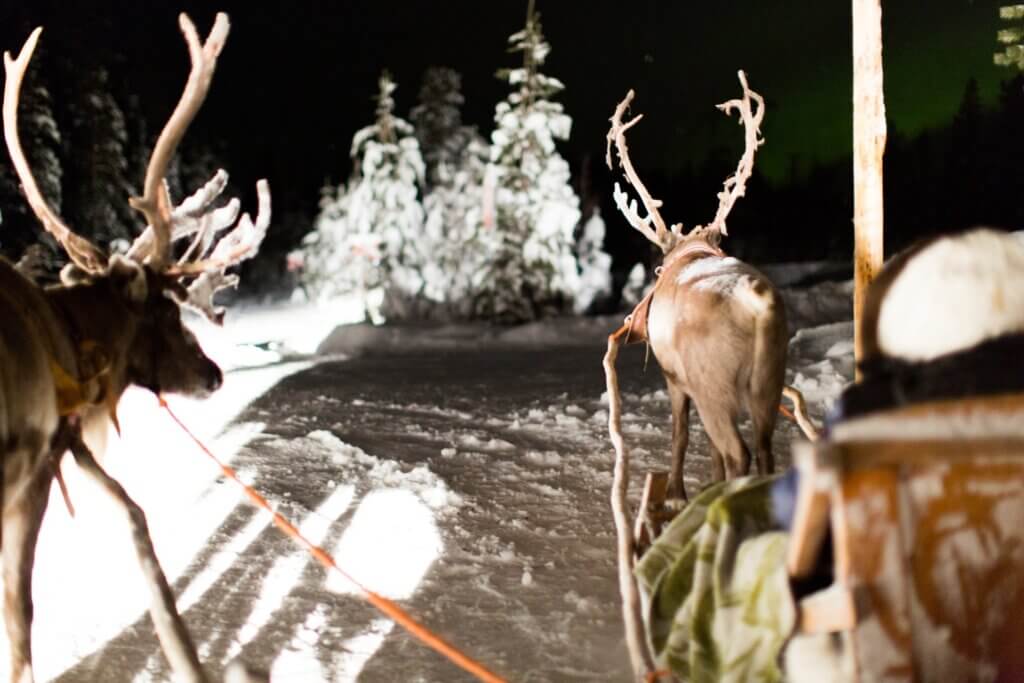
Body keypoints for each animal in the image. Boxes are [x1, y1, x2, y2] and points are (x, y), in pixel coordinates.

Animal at [0, 13, 269, 683]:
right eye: (168, 314)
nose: (214, 372)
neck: (71, 333)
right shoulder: (34, 470)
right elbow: (21, 619)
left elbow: (132, 518)